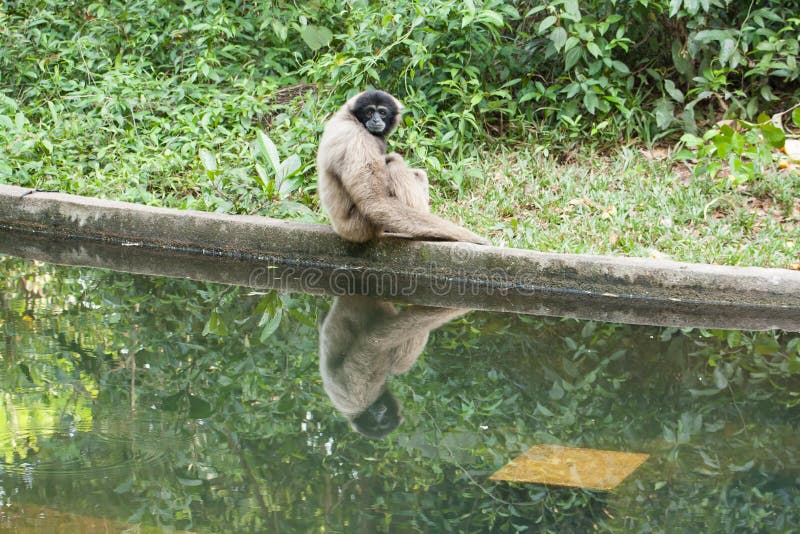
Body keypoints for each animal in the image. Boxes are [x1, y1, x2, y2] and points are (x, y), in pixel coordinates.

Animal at [316, 90, 491, 245]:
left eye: (382, 112)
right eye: (369, 112)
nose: (376, 120)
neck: (352, 118)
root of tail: (340, 229)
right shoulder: (357, 139)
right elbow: (377, 202)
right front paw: (470, 236)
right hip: (360, 226)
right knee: (394, 162)